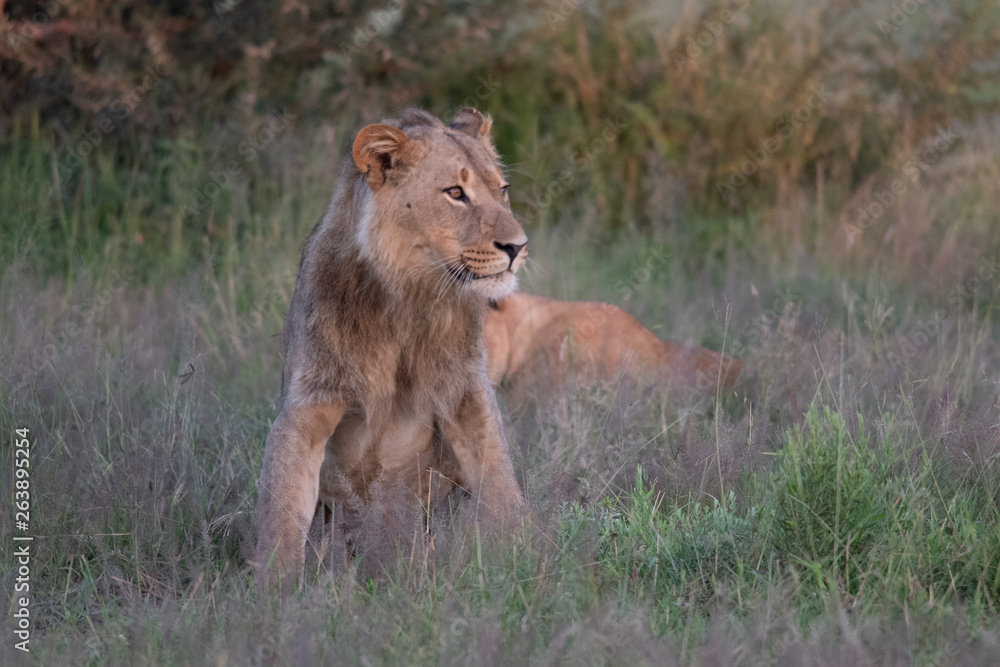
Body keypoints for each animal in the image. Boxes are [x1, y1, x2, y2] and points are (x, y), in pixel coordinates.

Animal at [255, 107, 527, 588]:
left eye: (503, 190)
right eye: (456, 193)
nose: (518, 247)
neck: (407, 296)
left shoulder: (464, 388)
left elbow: (498, 474)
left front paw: (520, 557)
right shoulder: (311, 399)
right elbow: (283, 505)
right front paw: (273, 590)